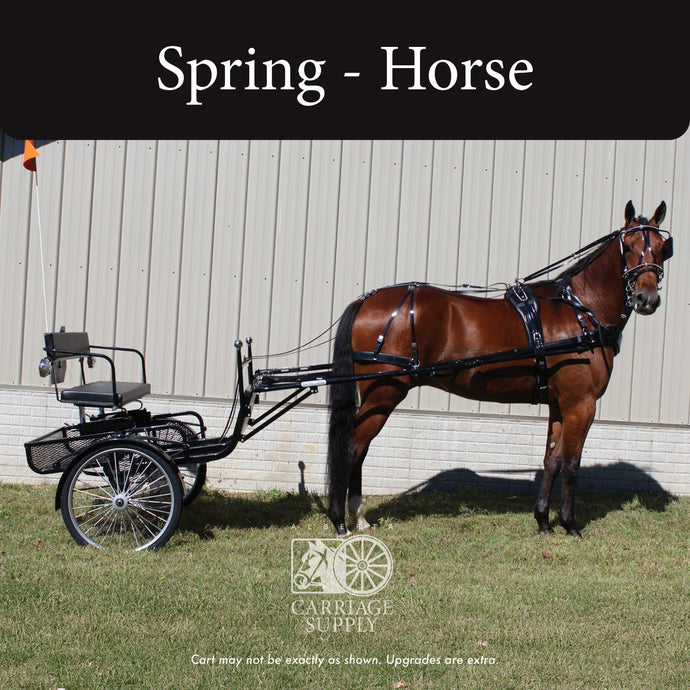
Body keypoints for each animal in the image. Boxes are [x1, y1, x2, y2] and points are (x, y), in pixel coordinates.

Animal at [326, 201, 673, 538]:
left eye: (661, 247)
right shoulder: (581, 403)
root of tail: (365, 301)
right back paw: (342, 520)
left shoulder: (559, 403)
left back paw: (358, 518)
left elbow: (552, 460)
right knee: (353, 447)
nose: (646, 299)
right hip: (384, 393)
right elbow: (572, 463)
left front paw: (543, 521)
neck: (580, 312)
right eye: (629, 246)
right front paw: (570, 524)